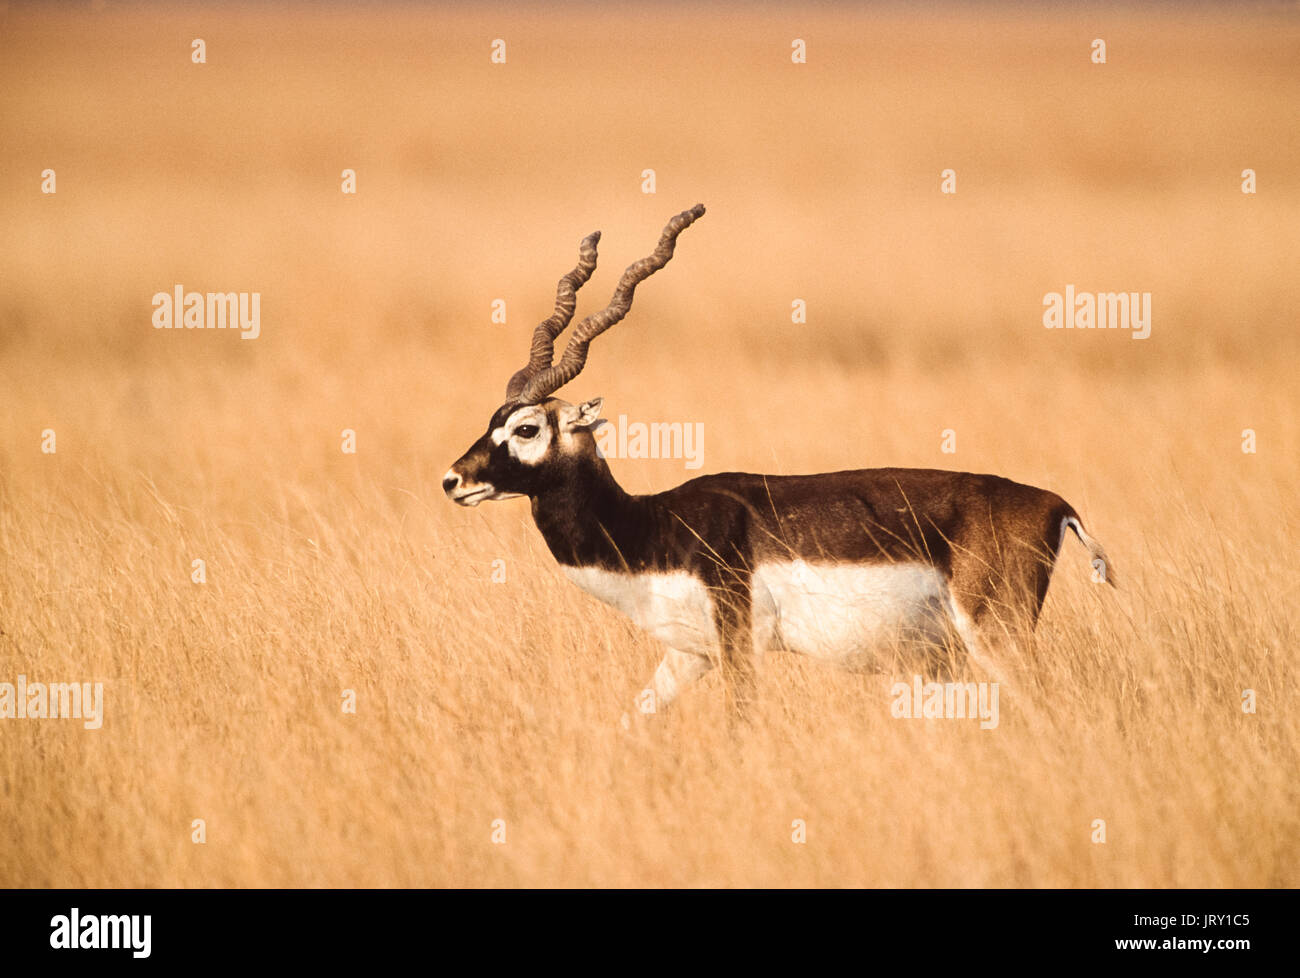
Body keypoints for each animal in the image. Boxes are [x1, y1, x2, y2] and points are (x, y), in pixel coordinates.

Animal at [444, 205, 1116, 717]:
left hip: (996, 637)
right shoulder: (687, 655)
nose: (454, 480)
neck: (651, 530)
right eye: (492, 420)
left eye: (527, 428)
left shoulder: (738, 642)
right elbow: (638, 715)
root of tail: (1055, 505)